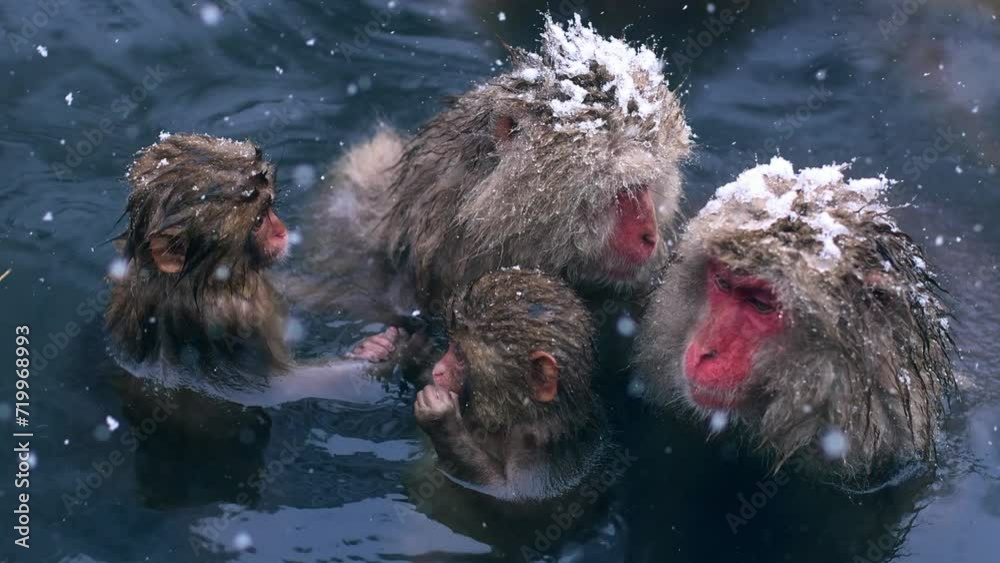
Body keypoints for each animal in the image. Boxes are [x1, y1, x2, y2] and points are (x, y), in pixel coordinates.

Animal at [106, 133, 393, 407]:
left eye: (270, 207)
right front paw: (374, 350)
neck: (205, 282)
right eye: (258, 221)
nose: (281, 232)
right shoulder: (225, 324)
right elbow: (280, 387)